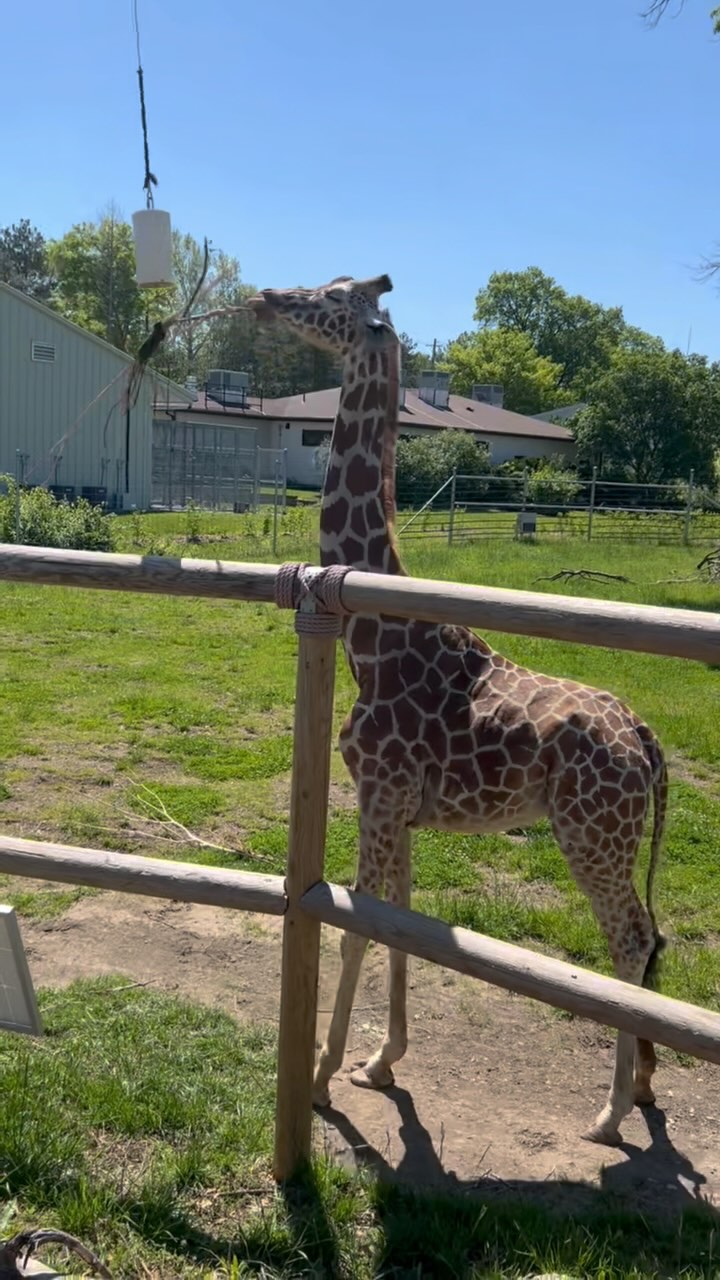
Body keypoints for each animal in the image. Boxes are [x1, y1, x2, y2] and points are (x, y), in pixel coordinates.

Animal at [248, 273, 668, 1147]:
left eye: (333, 295)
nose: (265, 297)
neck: (373, 639)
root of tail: (647, 742)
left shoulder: (378, 795)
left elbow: (355, 924)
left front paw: (321, 1078)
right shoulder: (403, 809)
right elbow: (400, 924)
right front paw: (381, 1061)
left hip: (592, 835)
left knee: (631, 938)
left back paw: (608, 1112)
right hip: (615, 837)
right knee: (648, 937)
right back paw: (643, 1085)